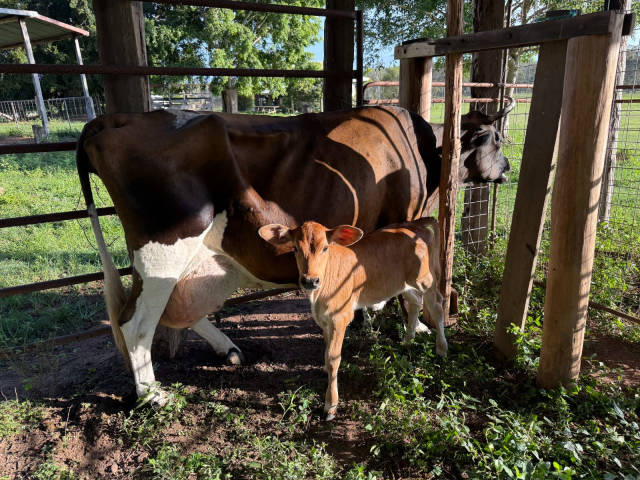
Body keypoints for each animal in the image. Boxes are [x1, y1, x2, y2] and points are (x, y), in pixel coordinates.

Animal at [258, 218, 446, 420]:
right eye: (295, 248)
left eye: (325, 248)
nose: (310, 280)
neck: (318, 296)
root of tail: (416, 224)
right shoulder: (324, 321)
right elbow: (327, 350)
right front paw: (325, 370)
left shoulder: (340, 318)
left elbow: (333, 357)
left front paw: (330, 405)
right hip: (403, 283)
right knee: (415, 302)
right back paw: (408, 340)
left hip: (425, 279)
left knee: (437, 306)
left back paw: (441, 349)